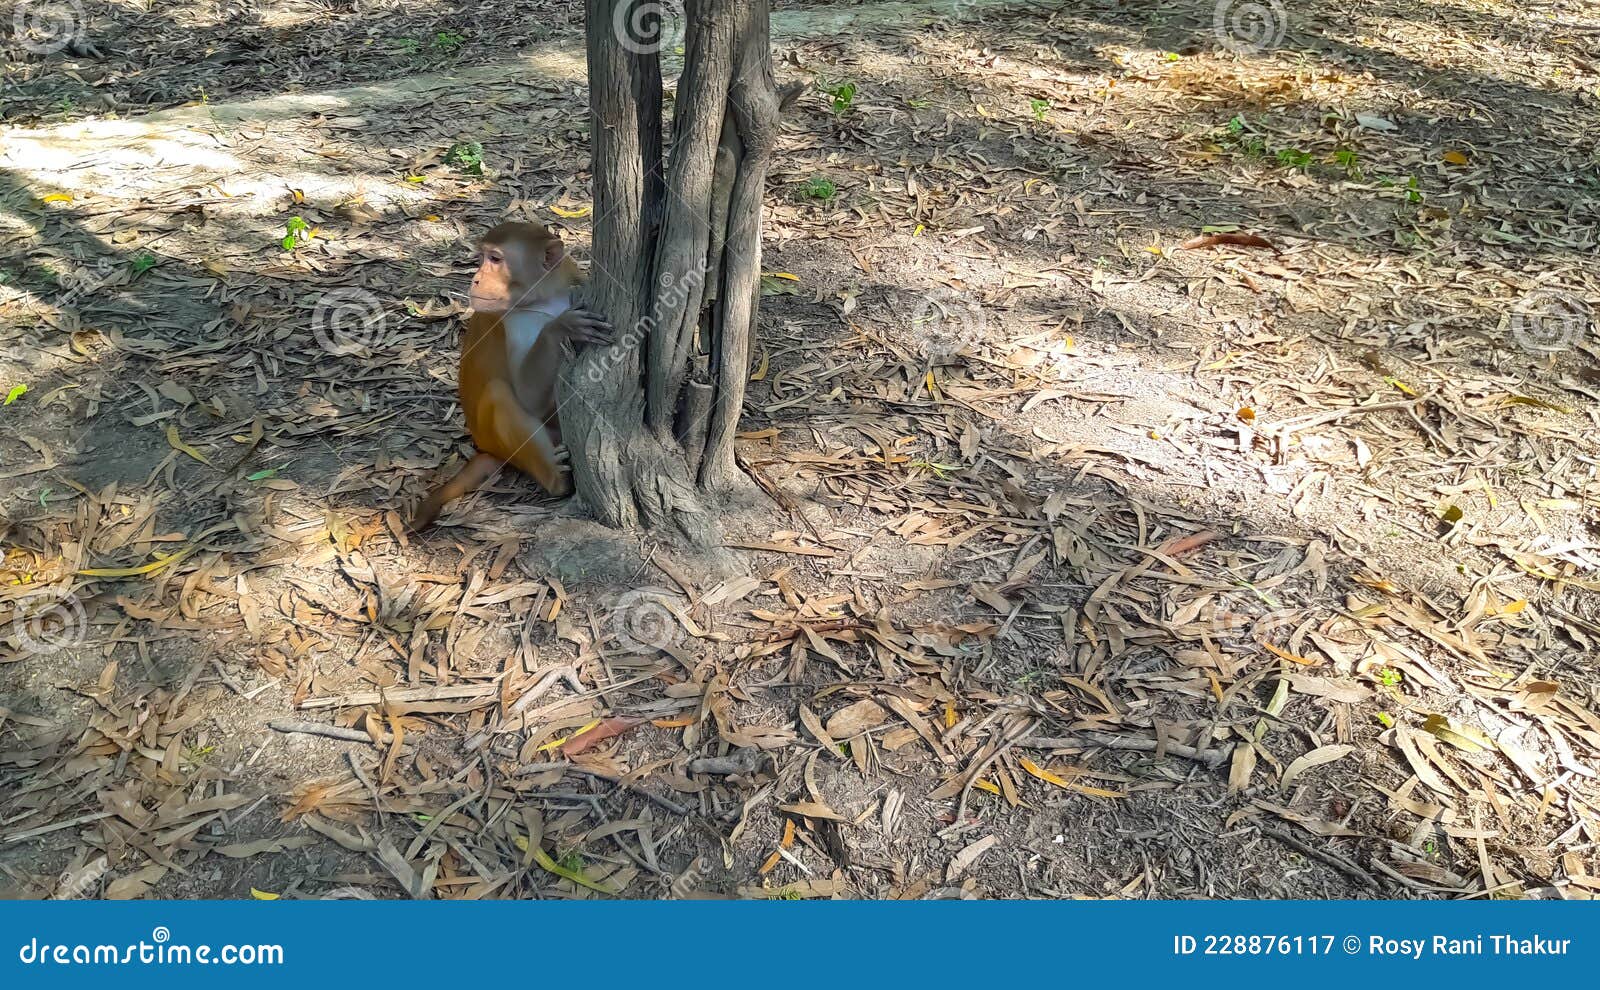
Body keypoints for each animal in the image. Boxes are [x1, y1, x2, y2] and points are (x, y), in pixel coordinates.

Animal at [408, 221, 612, 532]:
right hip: (500, 442)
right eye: (482, 258)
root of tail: (487, 449)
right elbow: (528, 399)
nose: (476, 278)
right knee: (499, 394)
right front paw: (561, 326)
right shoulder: (514, 321)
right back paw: (557, 480)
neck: (544, 298)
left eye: (494, 259)